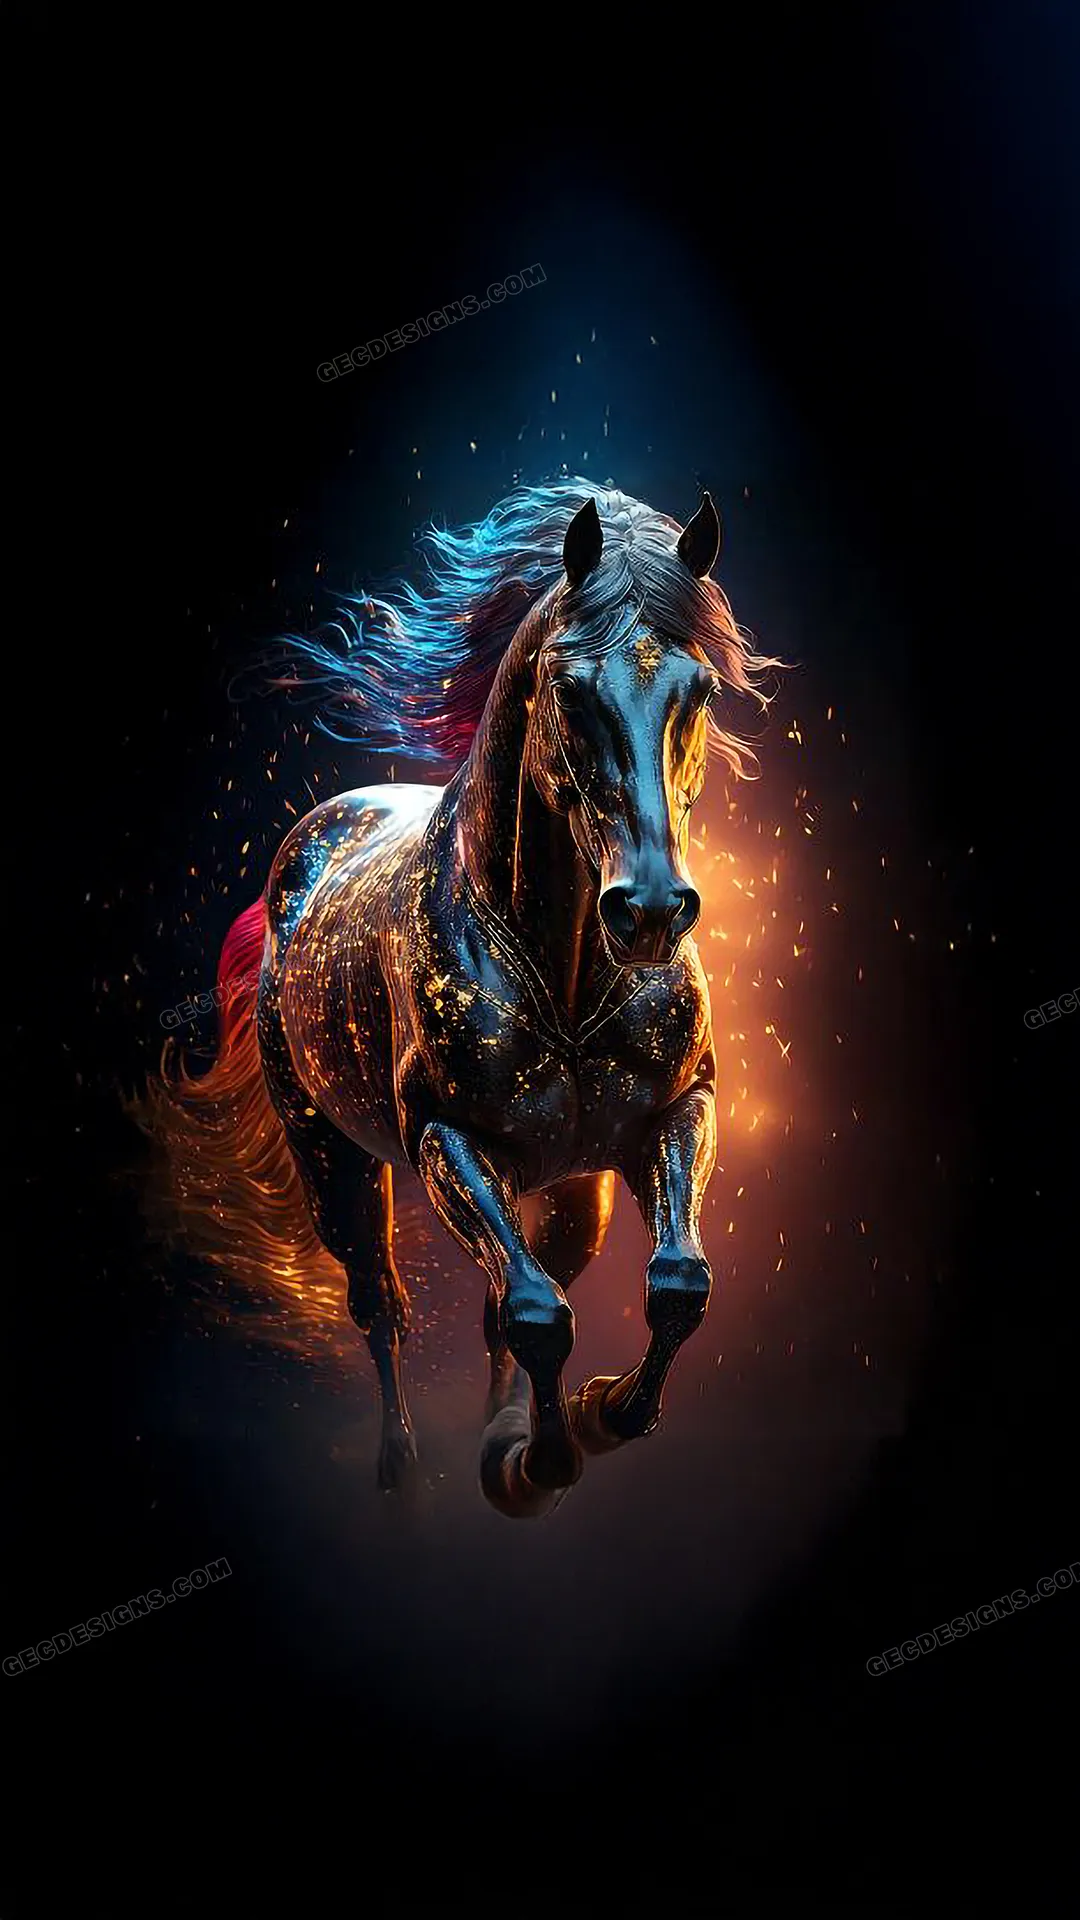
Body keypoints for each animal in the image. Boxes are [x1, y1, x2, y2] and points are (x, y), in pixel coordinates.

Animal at [145, 480, 777, 1517]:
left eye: (703, 690)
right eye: (568, 688)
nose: (649, 910)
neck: (566, 979)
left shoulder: (676, 1113)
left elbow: (675, 1284)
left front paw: (594, 1419)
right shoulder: (447, 1139)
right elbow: (534, 1313)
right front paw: (543, 1461)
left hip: (572, 1187)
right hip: (332, 1158)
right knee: (382, 1304)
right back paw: (403, 1471)